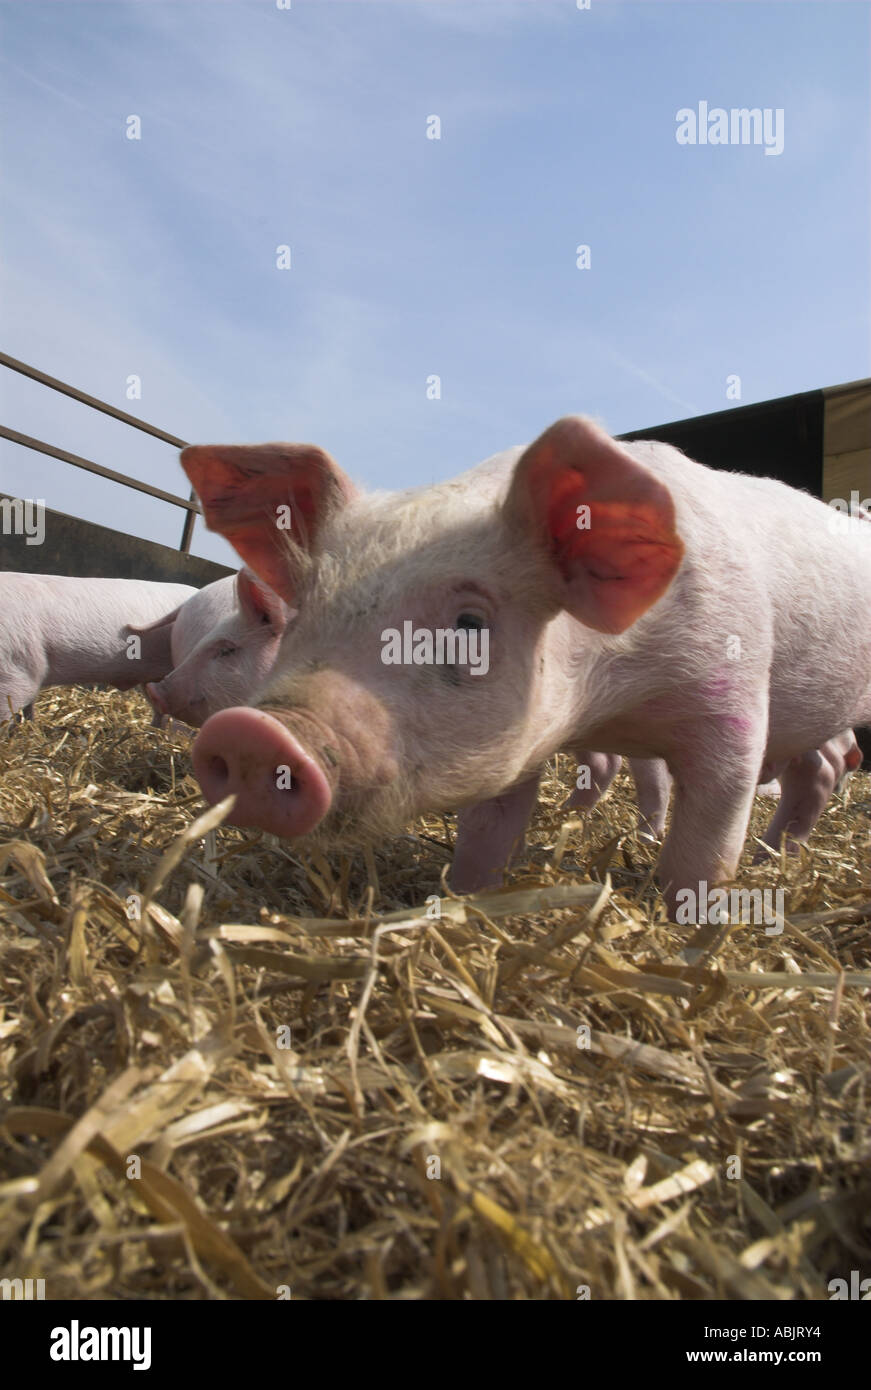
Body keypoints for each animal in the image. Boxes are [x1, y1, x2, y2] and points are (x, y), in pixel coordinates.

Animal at [178, 418, 871, 920]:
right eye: (300, 614)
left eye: (468, 627)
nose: (254, 732)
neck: (611, 697)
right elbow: (491, 825)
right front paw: (466, 895)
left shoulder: (733, 690)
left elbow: (707, 832)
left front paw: (691, 927)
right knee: (821, 768)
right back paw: (776, 850)